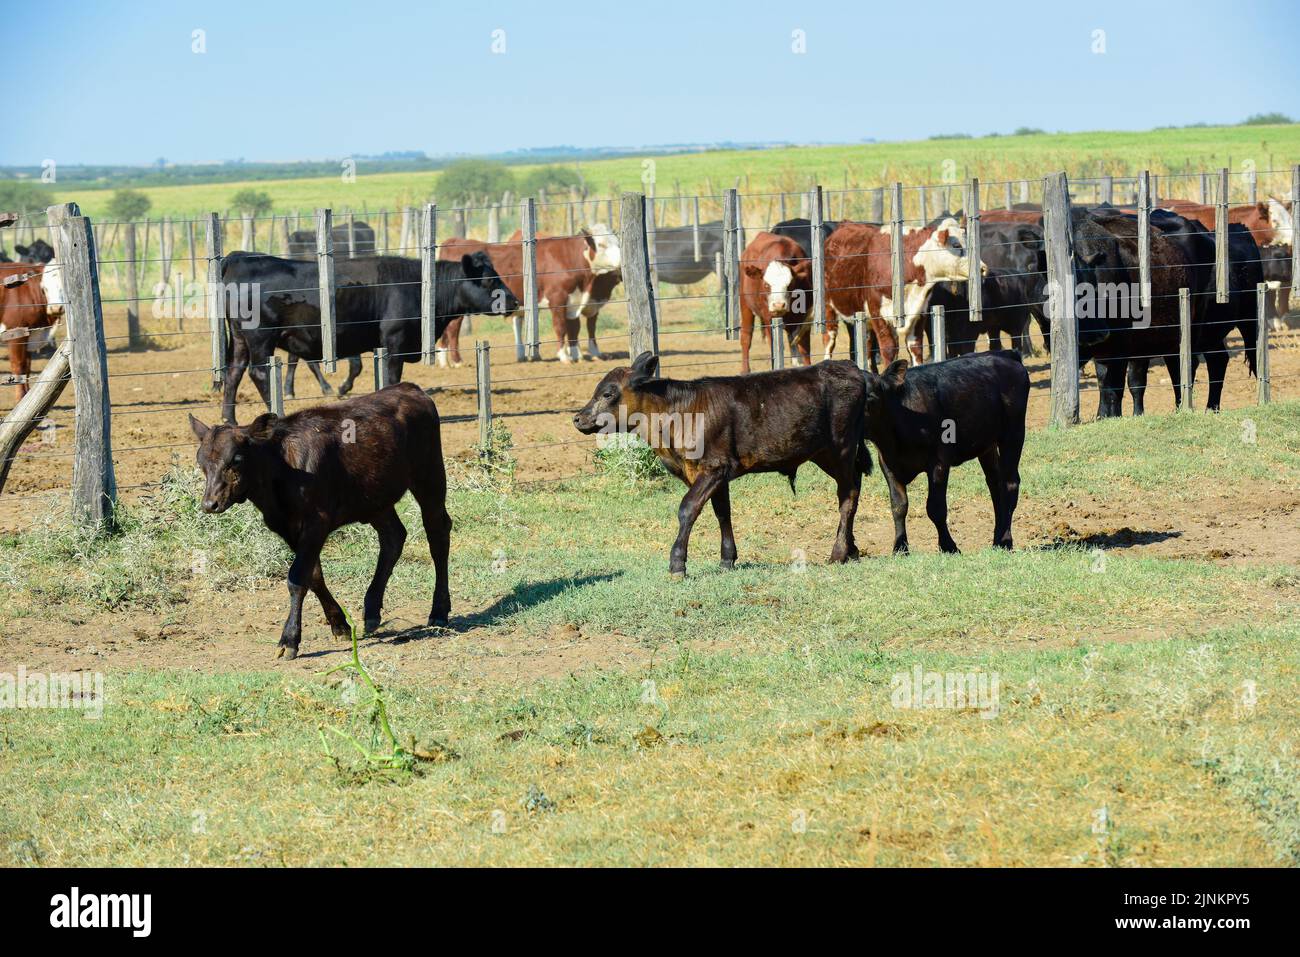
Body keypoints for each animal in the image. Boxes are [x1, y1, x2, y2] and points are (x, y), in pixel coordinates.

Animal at [189, 383, 451, 660]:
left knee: (437, 534)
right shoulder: (289, 528)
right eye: (201, 462)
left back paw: (439, 611)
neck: (283, 468)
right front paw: (340, 625)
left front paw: (289, 640)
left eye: (236, 460)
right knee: (393, 537)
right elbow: (314, 576)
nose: (210, 504)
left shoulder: (316, 522)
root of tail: (410, 388)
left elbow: (297, 578)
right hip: (375, 500)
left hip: (430, 477)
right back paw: (371, 611)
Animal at [219, 251, 517, 424]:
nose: (515, 301)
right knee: (259, 374)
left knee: (234, 373)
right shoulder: (395, 342)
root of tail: (238, 257)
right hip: (260, 338)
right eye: (490, 281)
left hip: (241, 339)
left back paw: (229, 419)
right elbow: (391, 377)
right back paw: (276, 413)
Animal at [438, 224, 621, 364]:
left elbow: (574, 329)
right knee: (453, 329)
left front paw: (577, 356)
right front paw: (564, 356)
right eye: (602, 244)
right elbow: (561, 327)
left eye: (618, 243)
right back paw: (456, 361)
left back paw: (444, 360)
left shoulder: (573, 301)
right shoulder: (557, 299)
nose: (620, 262)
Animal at [573, 351, 873, 576]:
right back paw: (851, 549)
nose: (578, 418)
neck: (679, 413)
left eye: (608, 393)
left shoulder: (713, 468)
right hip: (828, 454)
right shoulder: (716, 474)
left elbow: (687, 509)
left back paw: (838, 553)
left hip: (841, 449)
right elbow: (722, 513)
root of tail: (849, 366)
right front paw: (727, 559)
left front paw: (677, 563)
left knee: (848, 496)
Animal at [863, 351, 1029, 554]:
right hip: (987, 446)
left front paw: (948, 546)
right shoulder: (887, 464)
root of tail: (1006, 355)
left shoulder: (939, 461)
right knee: (995, 484)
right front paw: (900, 547)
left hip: (1013, 434)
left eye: (870, 398)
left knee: (1010, 483)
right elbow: (899, 506)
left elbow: (935, 508)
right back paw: (998, 539)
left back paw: (1005, 540)